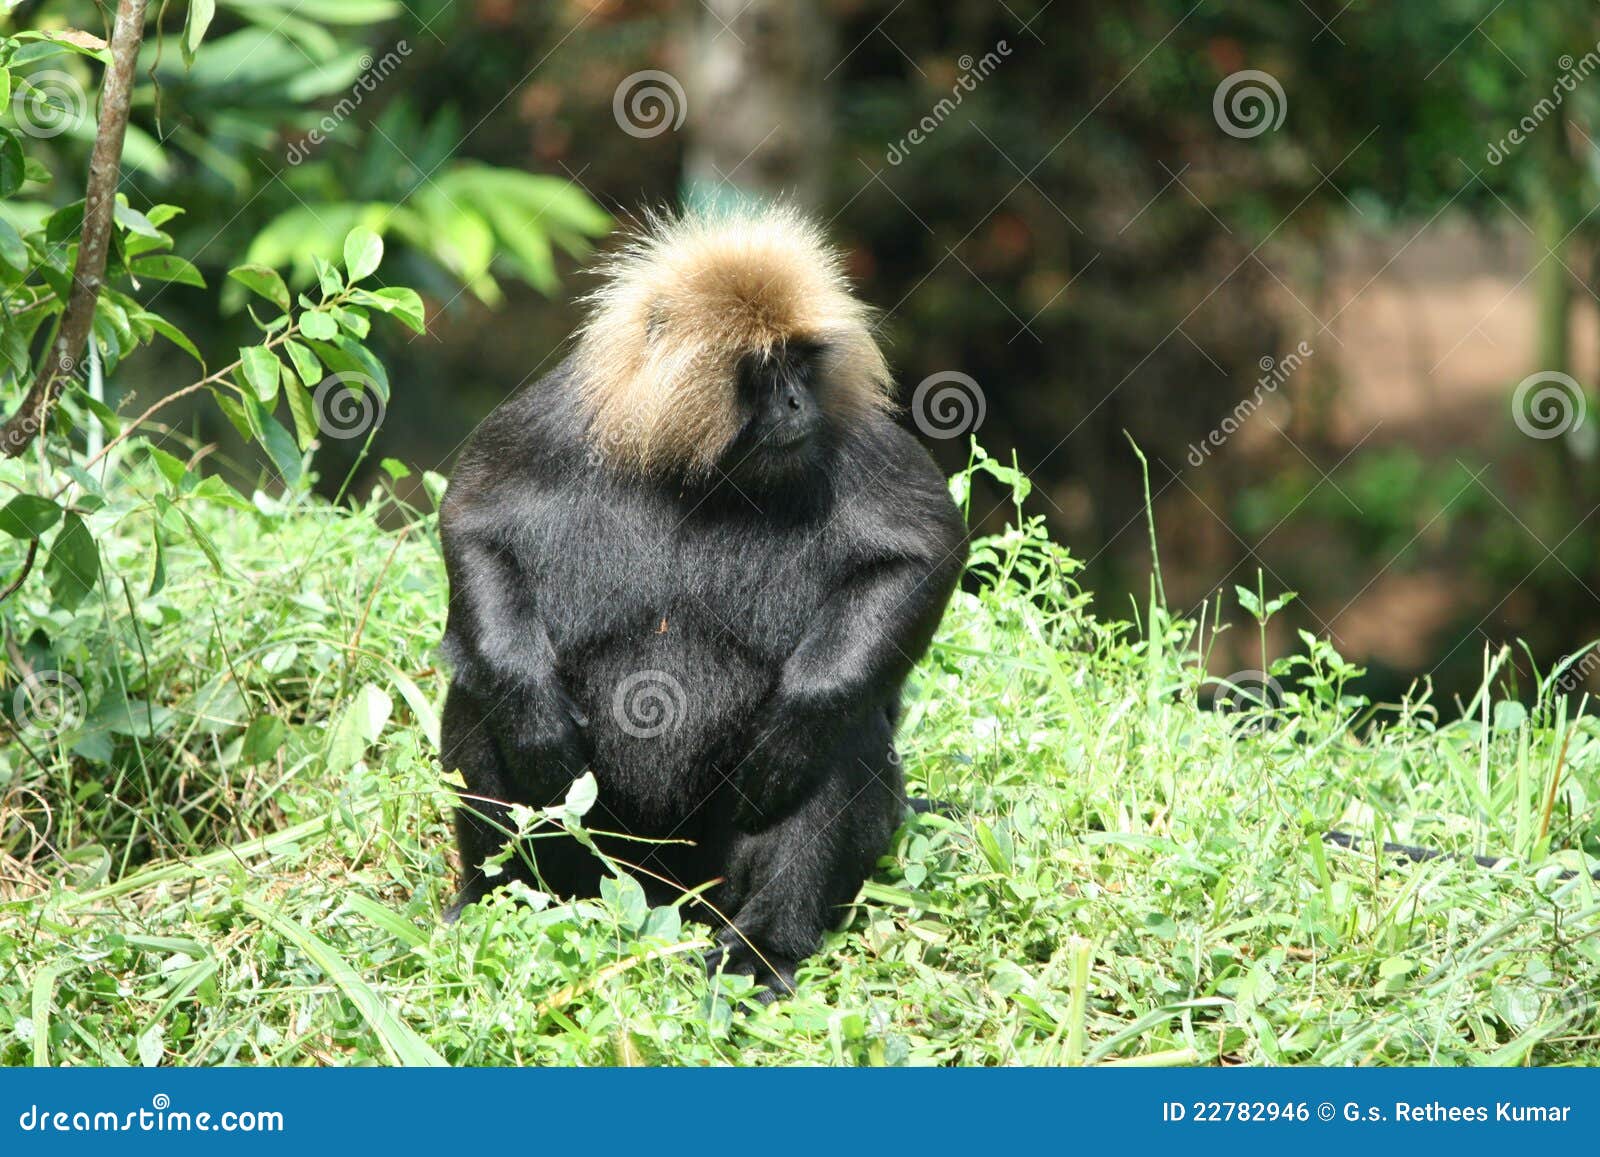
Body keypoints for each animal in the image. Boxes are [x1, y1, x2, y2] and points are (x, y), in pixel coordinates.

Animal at [437, 206, 968, 1000]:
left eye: (801, 365)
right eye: (764, 371)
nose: (795, 402)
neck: (702, 473)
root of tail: (663, 887)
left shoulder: (844, 431)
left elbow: (925, 548)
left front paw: (794, 720)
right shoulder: (560, 416)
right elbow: (471, 519)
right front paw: (535, 721)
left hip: (711, 877)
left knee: (841, 732)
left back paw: (764, 945)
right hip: (605, 861)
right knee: (479, 690)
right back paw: (500, 898)